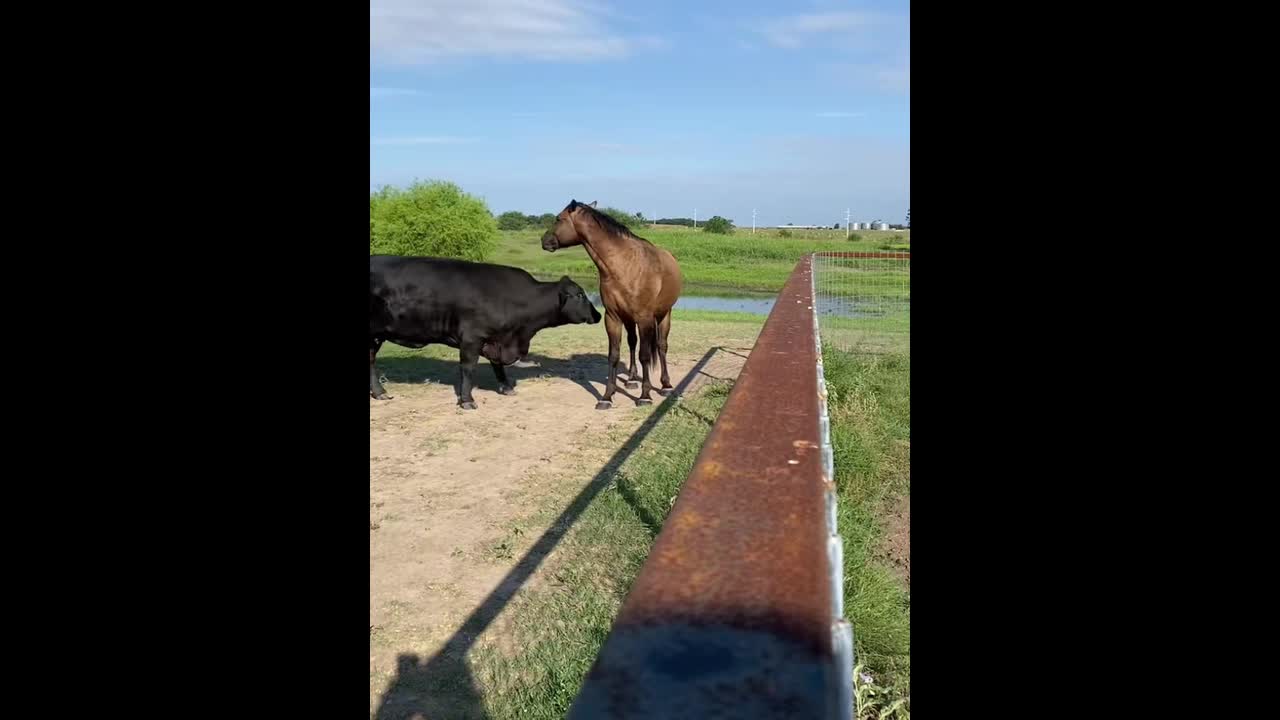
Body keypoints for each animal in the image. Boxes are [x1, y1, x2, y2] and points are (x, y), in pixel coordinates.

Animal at [369, 255, 602, 409]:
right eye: (580, 295)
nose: (598, 314)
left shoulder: (496, 339)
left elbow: (497, 366)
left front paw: (507, 388)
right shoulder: (472, 338)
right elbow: (468, 368)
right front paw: (467, 400)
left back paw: (379, 393)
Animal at [541, 200, 682, 409]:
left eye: (559, 218)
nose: (544, 240)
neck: (624, 265)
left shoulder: (644, 319)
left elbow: (645, 355)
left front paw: (645, 396)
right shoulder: (613, 317)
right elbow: (614, 355)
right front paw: (607, 396)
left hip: (664, 314)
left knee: (661, 346)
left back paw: (666, 385)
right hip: (629, 319)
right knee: (632, 343)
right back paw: (631, 379)